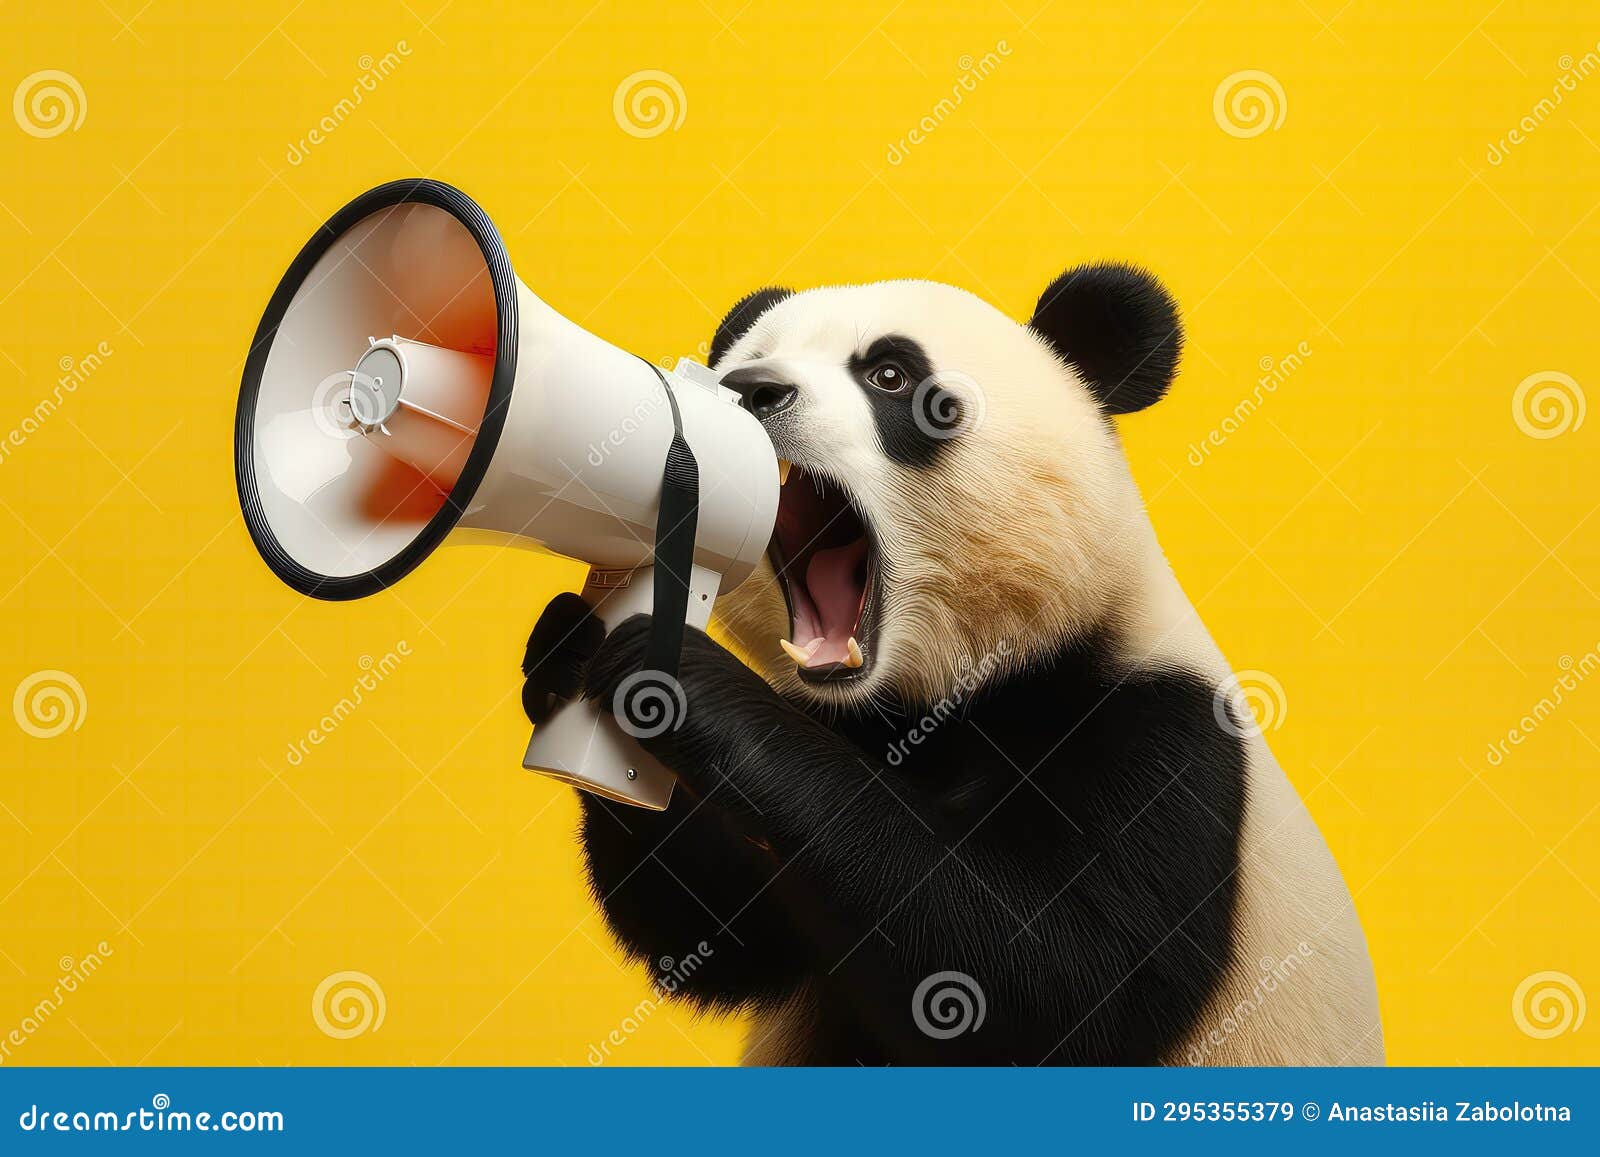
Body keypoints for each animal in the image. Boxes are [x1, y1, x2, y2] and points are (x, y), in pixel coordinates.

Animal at [520, 264, 1383, 1066]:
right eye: (746, 360)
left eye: (891, 375)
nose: (752, 391)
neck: (952, 698)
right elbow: (730, 937)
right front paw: (572, 646)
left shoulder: (1164, 735)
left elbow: (1049, 979)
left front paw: (685, 681)